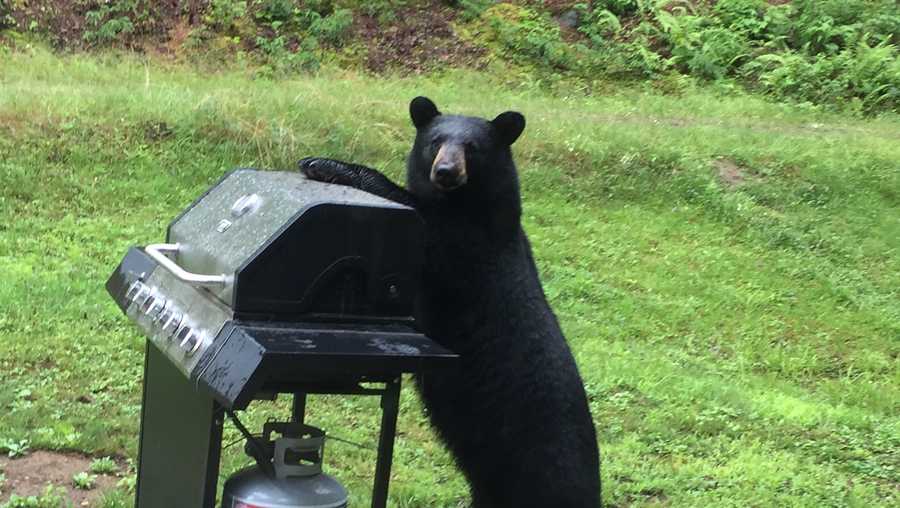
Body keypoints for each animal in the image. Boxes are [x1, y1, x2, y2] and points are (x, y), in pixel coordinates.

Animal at [299, 96, 600, 508]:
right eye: (435, 142)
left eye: (472, 147)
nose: (445, 171)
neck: (462, 201)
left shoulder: (466, 245)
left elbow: (421, 221)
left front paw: (328, 165)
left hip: (540, 464)